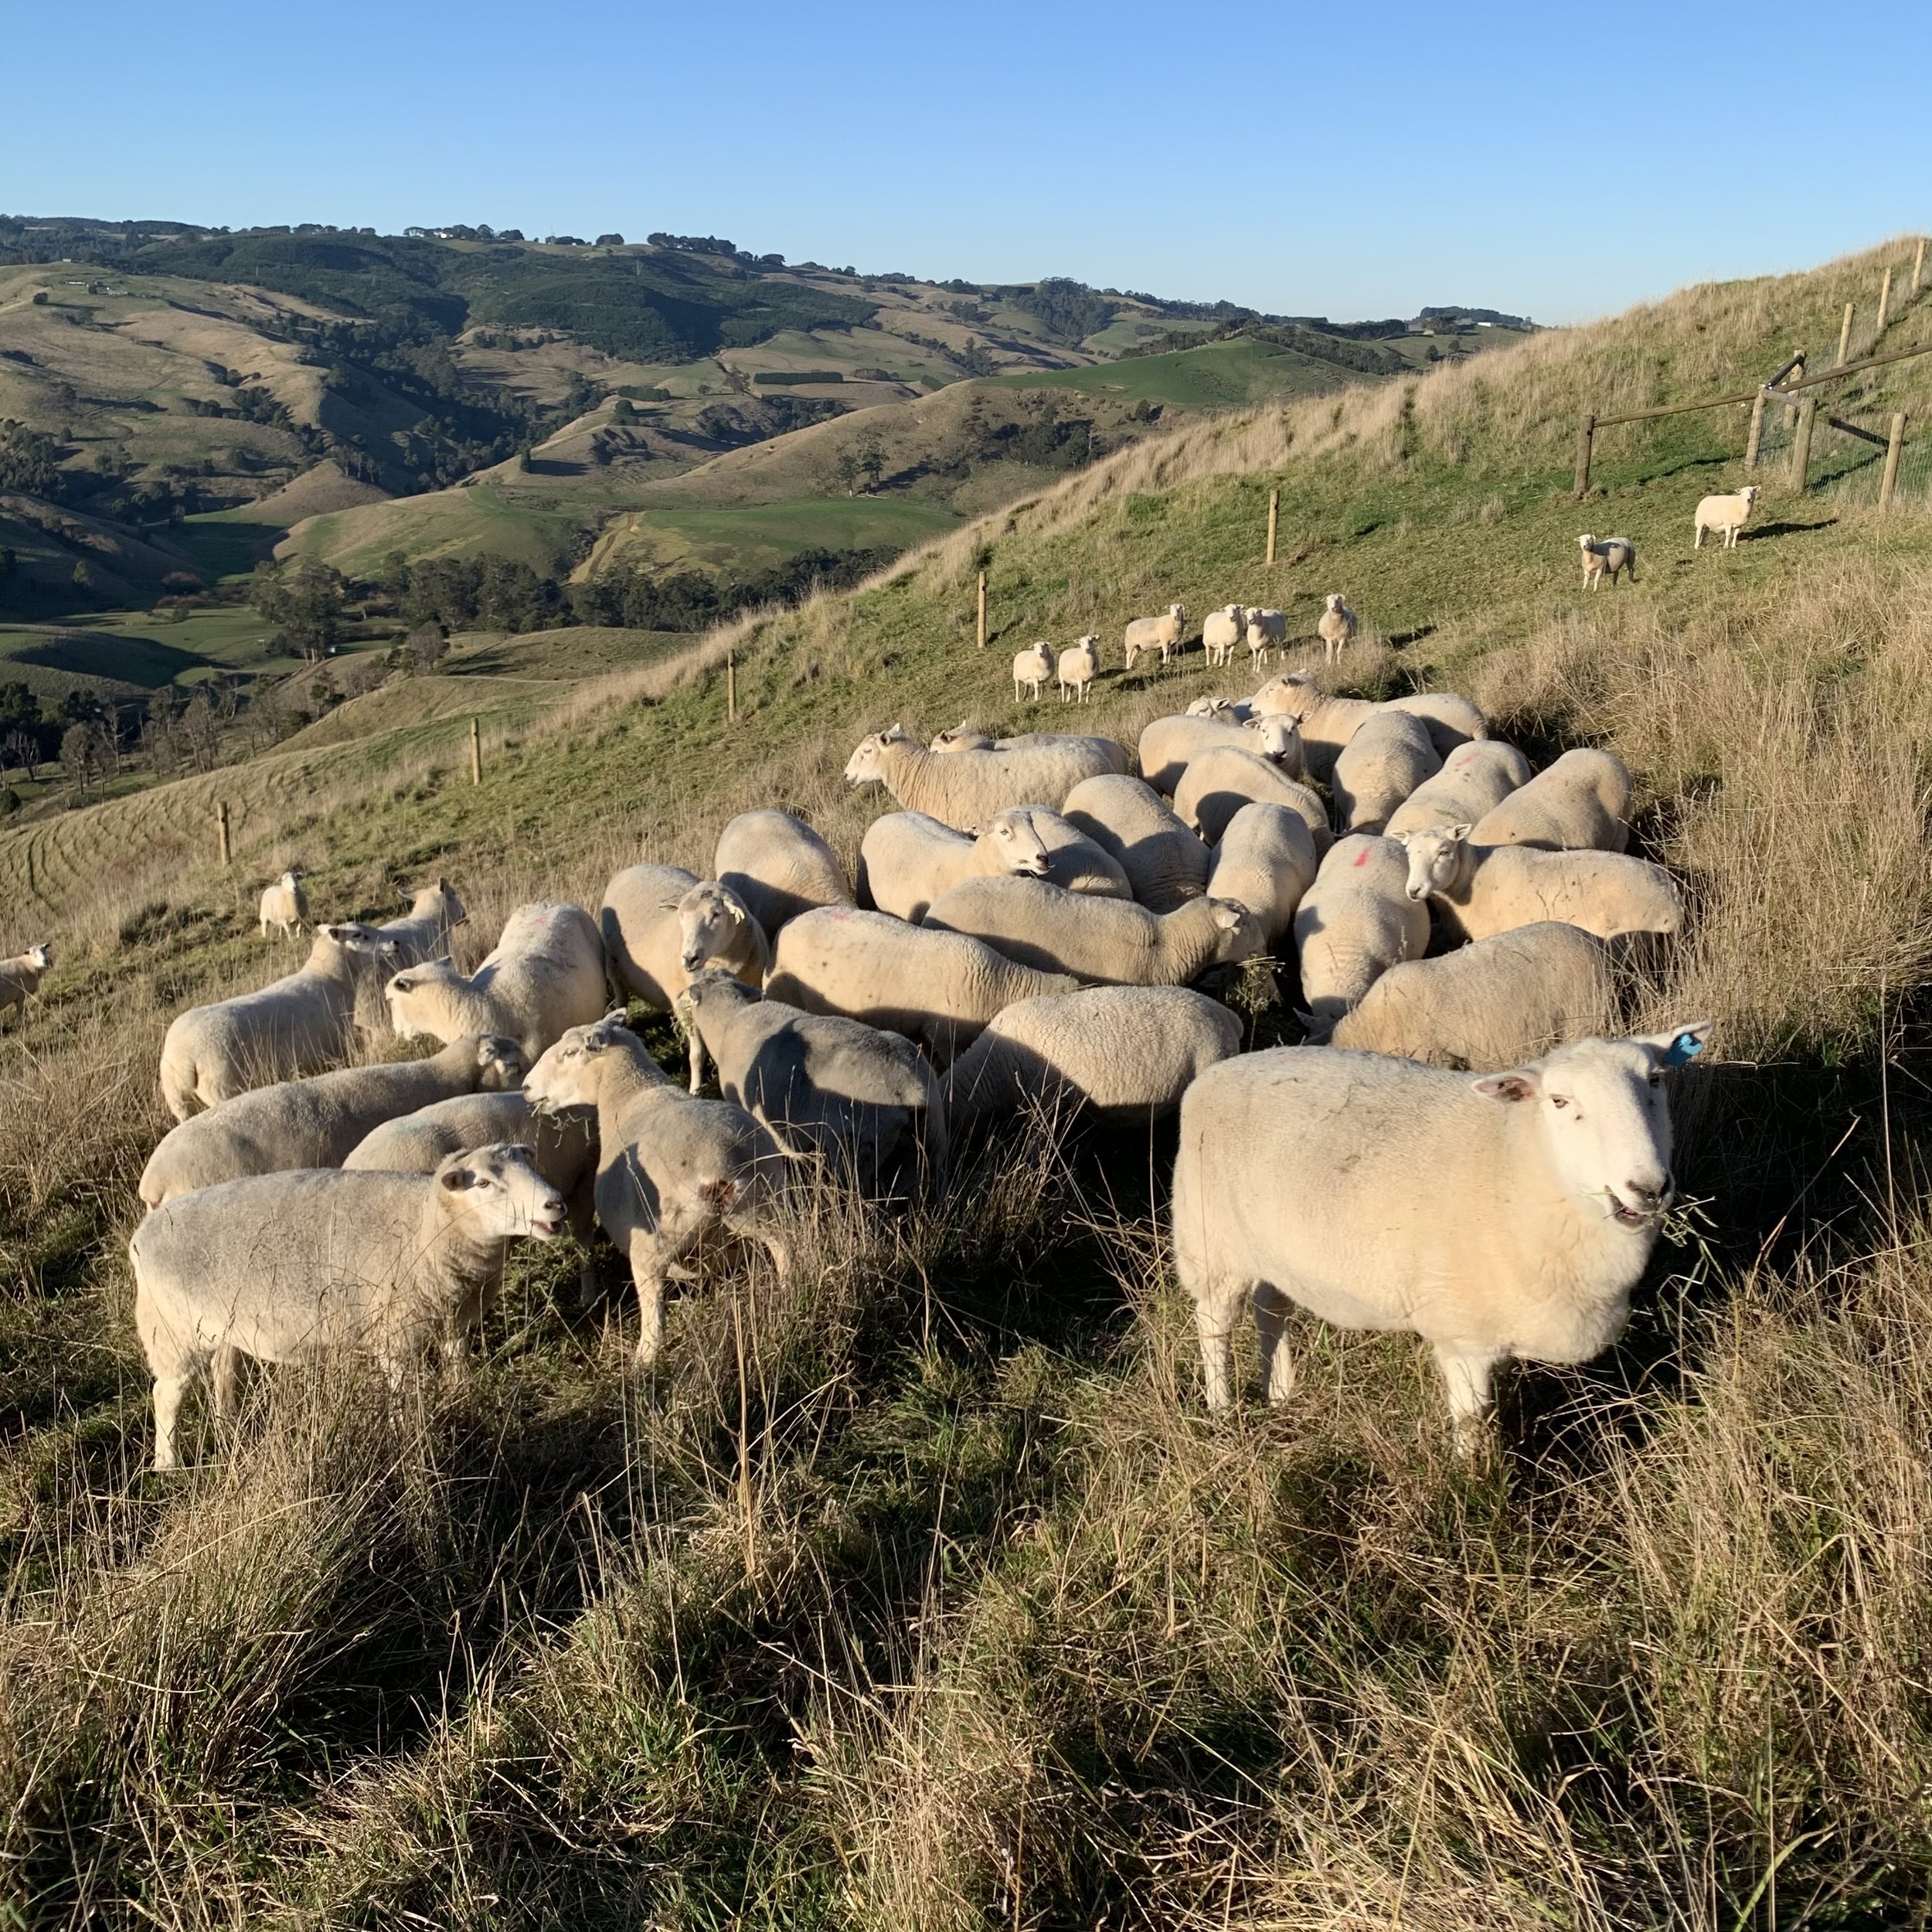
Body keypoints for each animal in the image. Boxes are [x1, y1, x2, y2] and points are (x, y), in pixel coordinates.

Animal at [131, 1144, 567, 1470]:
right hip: (174, 1330)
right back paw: (167, 1465)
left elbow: (458, 1367)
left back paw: (230, 1429)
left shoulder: (453, 1320)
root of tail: (140, 1236)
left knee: (224, 1374)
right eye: (485, 1183)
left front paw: (464, 1403)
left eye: (531, 1164)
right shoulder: (395, 1333)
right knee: (166, 1394)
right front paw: (410, 1437)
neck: (425, 1225)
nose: (556, 1204)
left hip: (223, 1326)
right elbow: (403, 1394)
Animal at [159, 923, 400, 1121]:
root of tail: (183, 1056)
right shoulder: (334, 1048)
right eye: (359, 935)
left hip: (178, 1100)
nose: (395, 942)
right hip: (223, 1088)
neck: (331, 977)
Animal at [524, 1017, 793, 1367]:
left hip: (653, 1243)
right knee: (785, 1248)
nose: (526, 1087)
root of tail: (720, 1161)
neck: (631, 1092)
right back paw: (791, 1291)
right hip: (767, 1210)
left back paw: (643, 1361)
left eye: (569, 1053)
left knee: (653, 1311)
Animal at [1169, 1023, 1713, 1447]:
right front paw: (1477, 1491)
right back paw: (1222, 1411)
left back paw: (1281, 1394)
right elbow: (1472, 1422)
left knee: (1271, 1311)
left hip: (1272, 1250)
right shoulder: (1463, 1332)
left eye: (1656, 1080)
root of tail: (1217, 1073)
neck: (1515, 1164)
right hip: (1211, 1243)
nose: (1648, 1188)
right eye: (1559, 1101)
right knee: (1214, 1325)